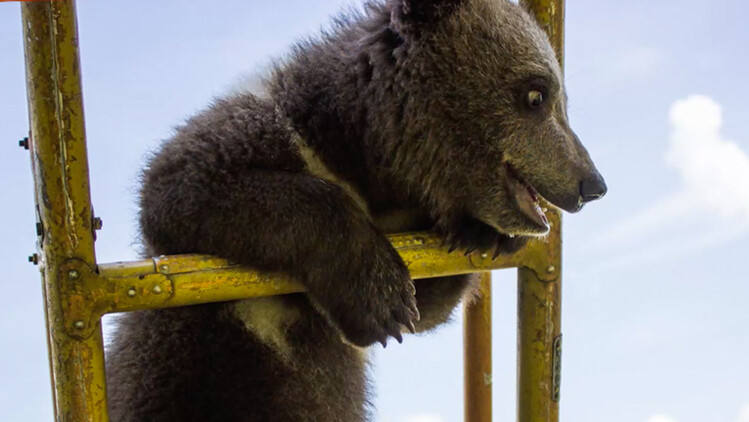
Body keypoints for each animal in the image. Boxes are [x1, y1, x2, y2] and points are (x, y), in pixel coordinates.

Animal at [105, 0, 606, 421]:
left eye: (562, 101)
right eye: (536, 94)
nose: (592, 184)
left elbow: (429, 307)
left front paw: (479, 235)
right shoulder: (262, 134)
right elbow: (182, 183)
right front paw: (379, 296)